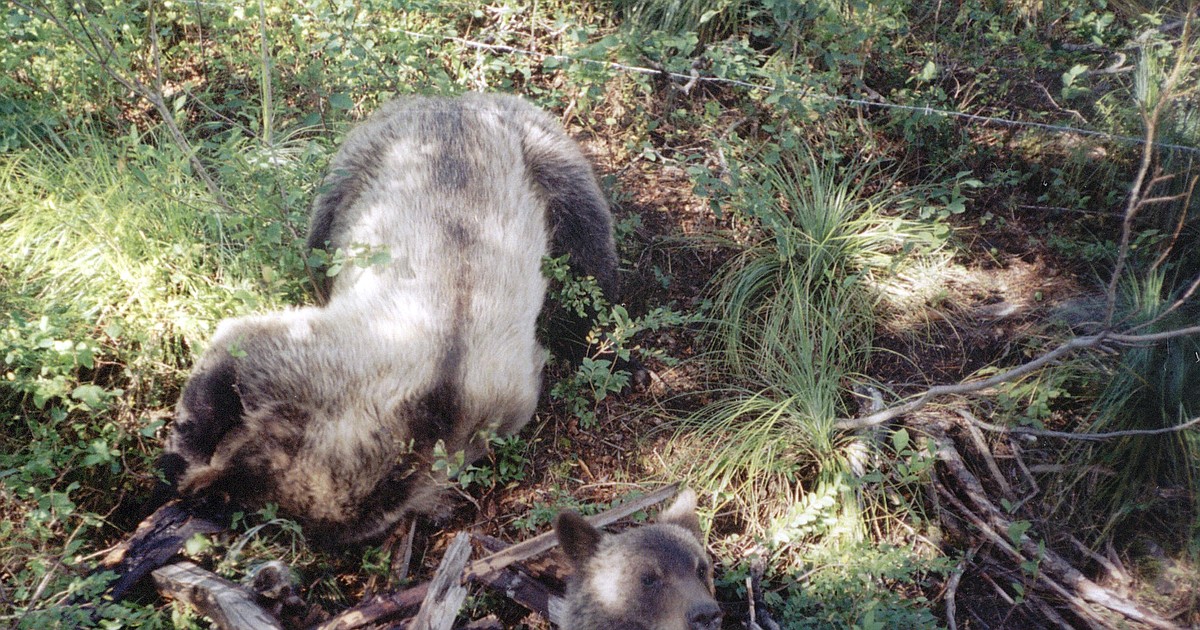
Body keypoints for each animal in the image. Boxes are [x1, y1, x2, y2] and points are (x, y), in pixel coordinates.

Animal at [156, 93, 625, 547]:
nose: (204, 488)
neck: (428, 417)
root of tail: (456, 100)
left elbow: (240, 343)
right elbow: (235, 345)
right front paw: (183, 450)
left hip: (538, 150)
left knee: (590, 239)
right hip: (371, 155)